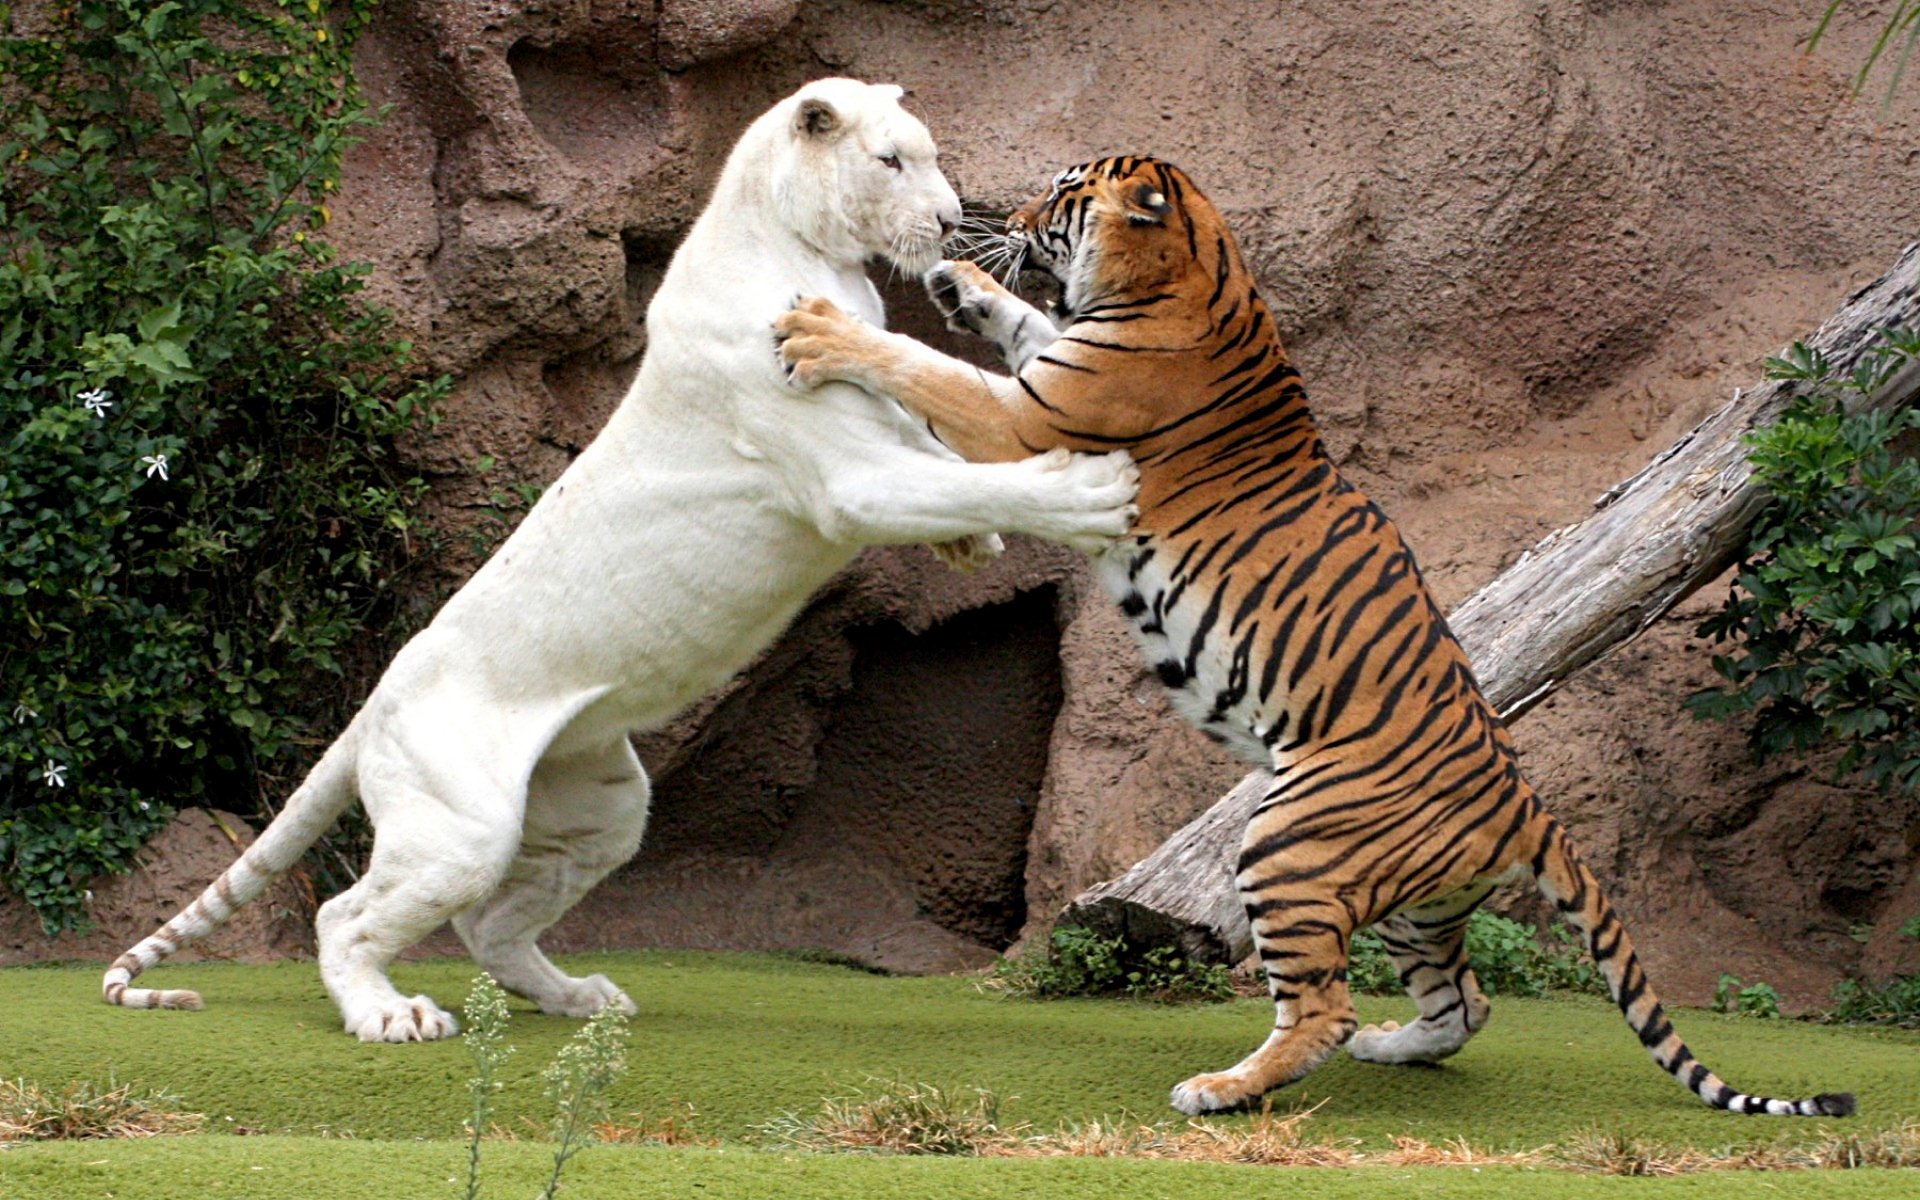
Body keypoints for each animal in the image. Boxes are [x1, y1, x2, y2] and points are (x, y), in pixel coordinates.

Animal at [101, 78, 1138, 1042]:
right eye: (891, 161)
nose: (946, 221)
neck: (815, 253)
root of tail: (376, 702)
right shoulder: (847, 476)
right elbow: (962, 471)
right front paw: (1081, 496)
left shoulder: (878, 422)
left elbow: (935, 436)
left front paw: (974, 541)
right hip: (461, 822)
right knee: (346, 918)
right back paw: (394, 1016)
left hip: (598, 805)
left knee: (490, 925)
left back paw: (582, 999)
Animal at [772, 154, 1856, 1118]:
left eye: (1063, 190)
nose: (993, 214)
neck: (1194, 275)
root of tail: (1526, 807)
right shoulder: (1044, 380)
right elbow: (1019, 323)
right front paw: (962, 284)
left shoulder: (1031, 425)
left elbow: (928, 369)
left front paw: (820, 328)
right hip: (1418, 908)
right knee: (1465, 1002)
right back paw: (1389, 1046)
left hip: (1288, 846)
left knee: (1323, 1010)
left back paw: (1222, 1089)